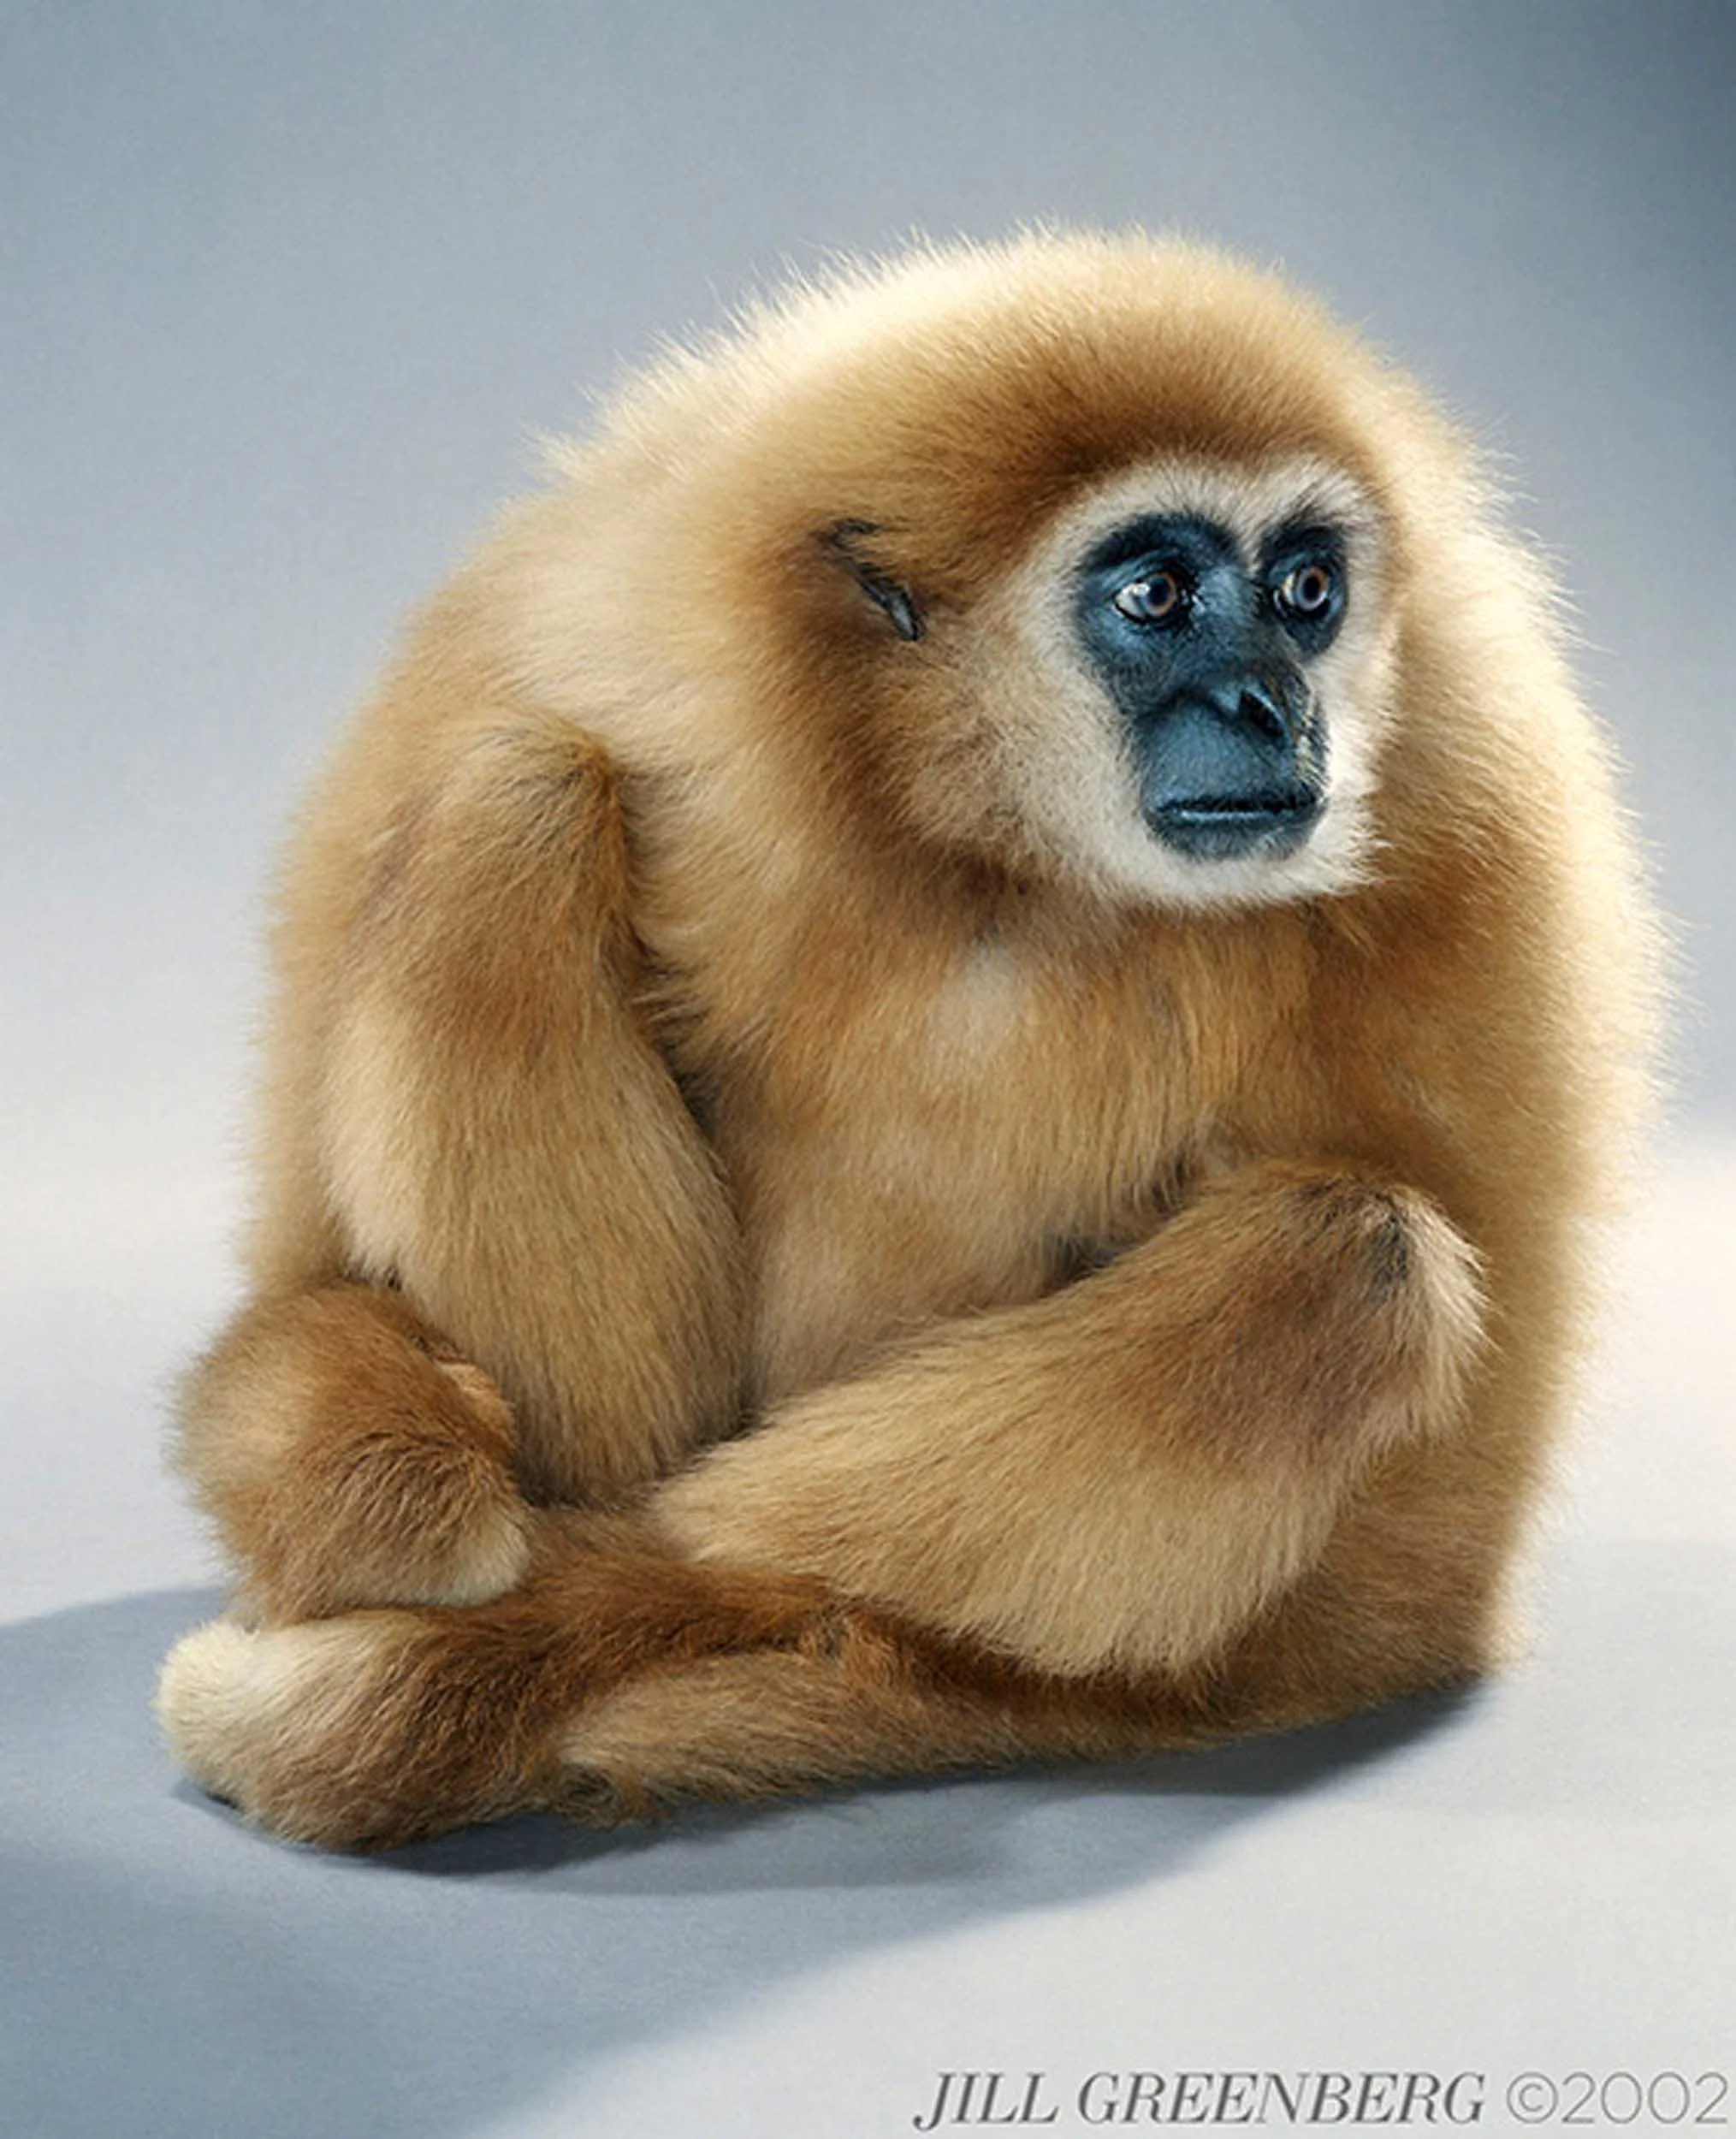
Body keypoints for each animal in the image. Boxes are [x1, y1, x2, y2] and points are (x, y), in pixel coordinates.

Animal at [155, 232, 1660, 1850]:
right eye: (1154, 595)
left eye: (1306, 587)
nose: (1271, 705)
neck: (977, 842)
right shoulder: (579, 623)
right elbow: (305, 1280)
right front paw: (386, 1491)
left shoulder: (1475, 794)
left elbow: (1426, 1520)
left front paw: (546, 1625)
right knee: (507, 801)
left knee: (1352, 1260)